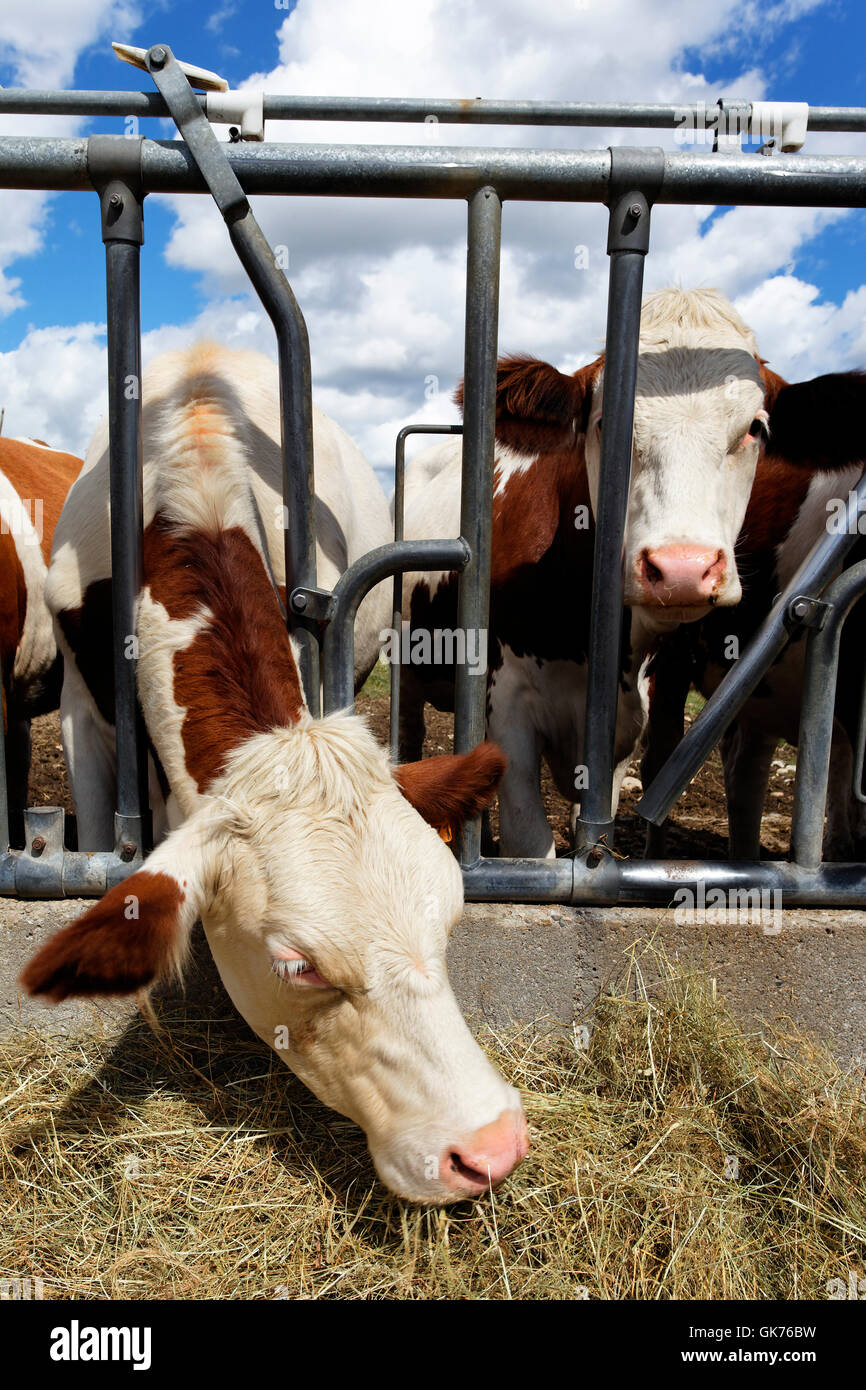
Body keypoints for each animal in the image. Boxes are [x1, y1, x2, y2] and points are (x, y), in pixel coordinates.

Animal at [397, 288, 853, 859]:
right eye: (603, 424)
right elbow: (533, 842)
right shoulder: (507, 709)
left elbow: (592, 823)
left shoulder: (623, 723)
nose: (682, 569)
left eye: (756, 428)